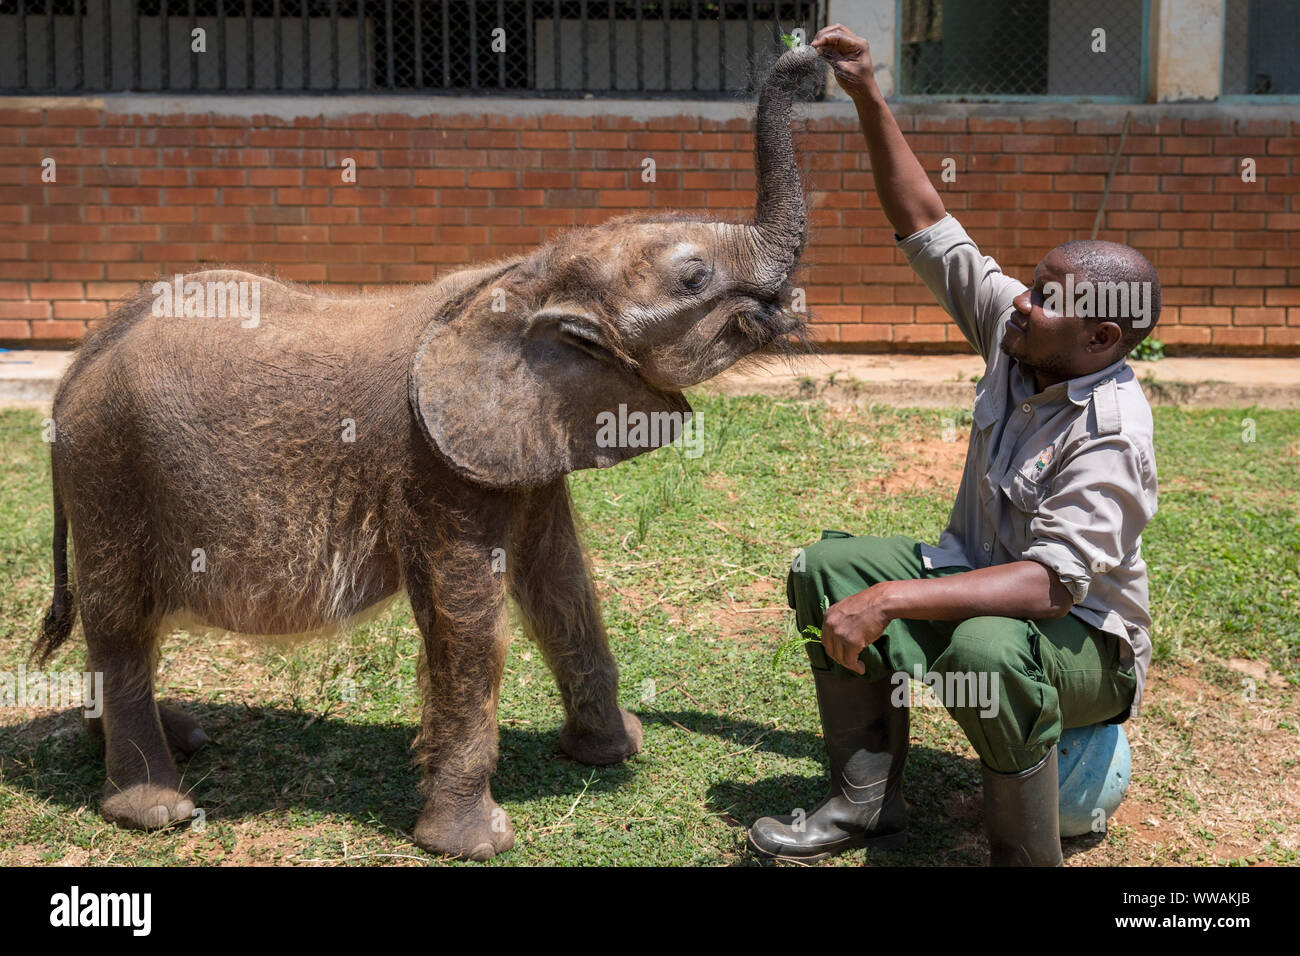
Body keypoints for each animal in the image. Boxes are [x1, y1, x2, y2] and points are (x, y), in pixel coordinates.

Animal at [38, 48, 821, 863]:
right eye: (693, 278)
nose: (813, 59)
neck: (521, 276)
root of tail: (77, 367)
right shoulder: (432, 465)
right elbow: (470, 626)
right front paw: (476, 842)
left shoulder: (517, 443)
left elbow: (563, 587)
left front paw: (613, 751)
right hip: (110, 470)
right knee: (122, 622)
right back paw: (155, 808)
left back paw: (174, 739)